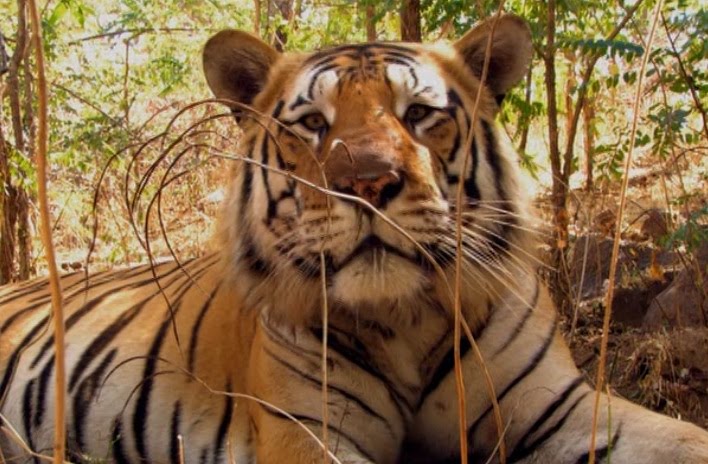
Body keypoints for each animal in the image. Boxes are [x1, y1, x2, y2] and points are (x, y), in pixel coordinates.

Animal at [2, 13, 708, 464]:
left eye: (418, 114)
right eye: (313, 123)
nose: (367, 181)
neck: (406, 318)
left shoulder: (561, 406)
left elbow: (685, 440)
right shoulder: (306, 434)